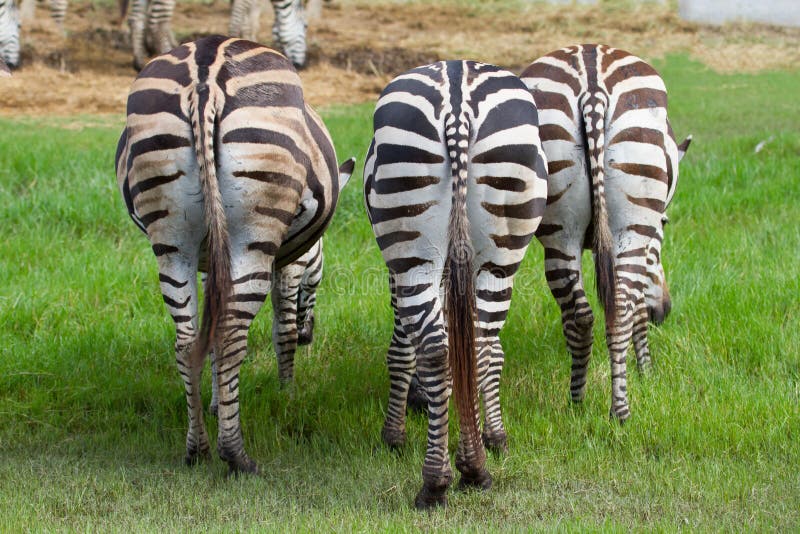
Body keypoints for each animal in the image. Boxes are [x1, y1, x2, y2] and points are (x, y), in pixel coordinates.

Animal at [115, 35, 353, 474]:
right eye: (319, 266)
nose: (312, 337)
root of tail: (205, 73)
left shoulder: (210, 264)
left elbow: (208, 332)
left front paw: (215, 403)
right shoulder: (289, 264)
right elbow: (282, 329)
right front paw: (286, 394)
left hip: (172, 239)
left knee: (187, 341)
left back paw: (197, 448)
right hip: (252, 236)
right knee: (229, 337)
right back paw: (235, 454)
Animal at [364, 60, 548, 508]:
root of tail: (458, 101)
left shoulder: (397, 275)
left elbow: (401, 350)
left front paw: (393, 435)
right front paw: (492, 435)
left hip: (411, 251)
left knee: (437, 349)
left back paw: (436, 482)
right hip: (501, 248)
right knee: (475, 346)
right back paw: (473, 467)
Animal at [518, 44, 691, 421]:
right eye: (665, 225)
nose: (665, 313)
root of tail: (593, 84)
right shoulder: (645, 234)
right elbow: (638, 306)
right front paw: (646, 371)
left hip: (559, 230)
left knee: (584, 316)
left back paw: (580, 403)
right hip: (631, 222)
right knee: (624, 308)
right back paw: (619, 410)